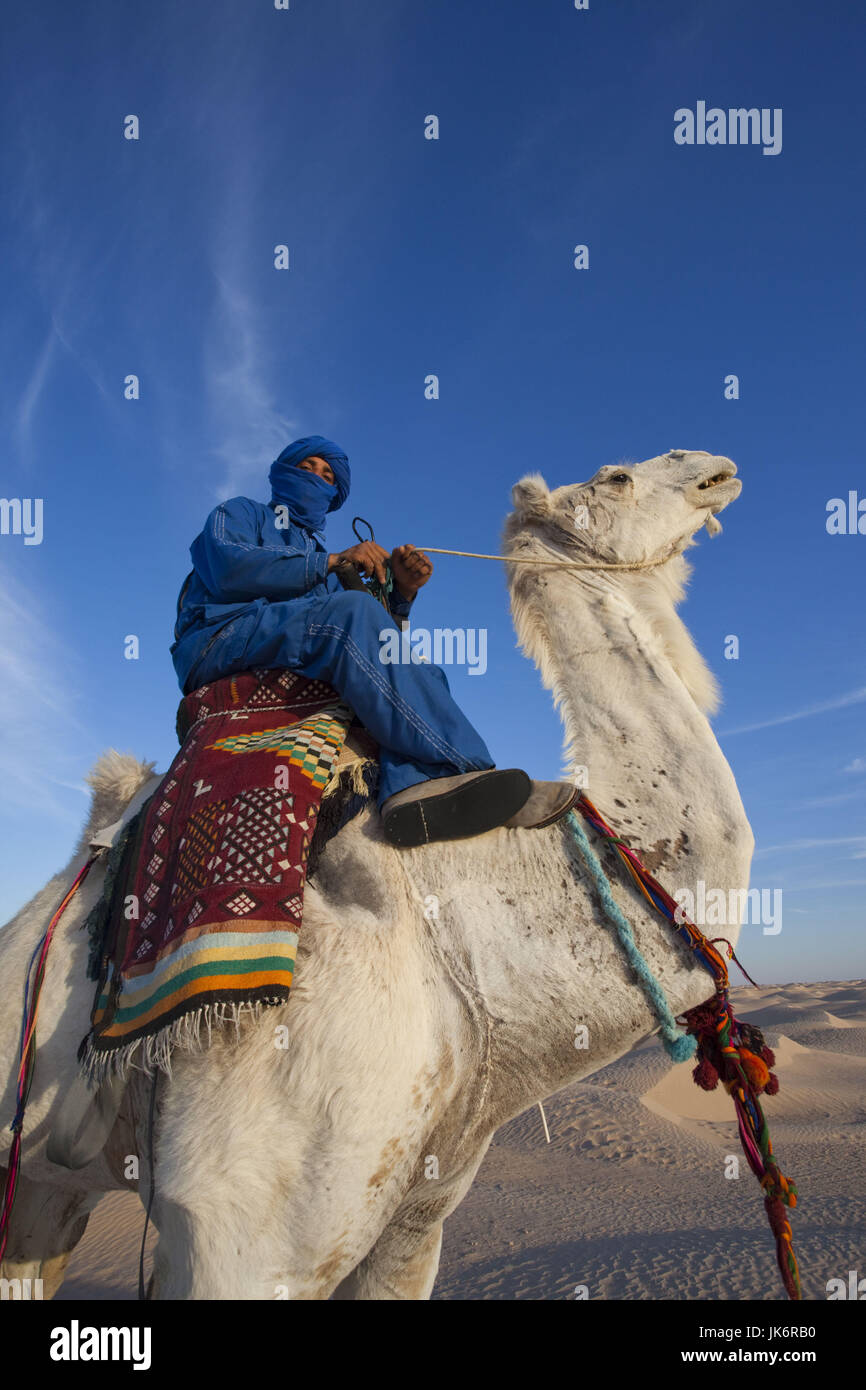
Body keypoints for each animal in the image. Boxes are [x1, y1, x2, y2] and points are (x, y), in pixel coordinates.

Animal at [0, 448, 753, 1300]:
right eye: (617, 478)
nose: (716, 467)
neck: (469, 941)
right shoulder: (241, 1229)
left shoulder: (419, 1216)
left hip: (47, 1184)